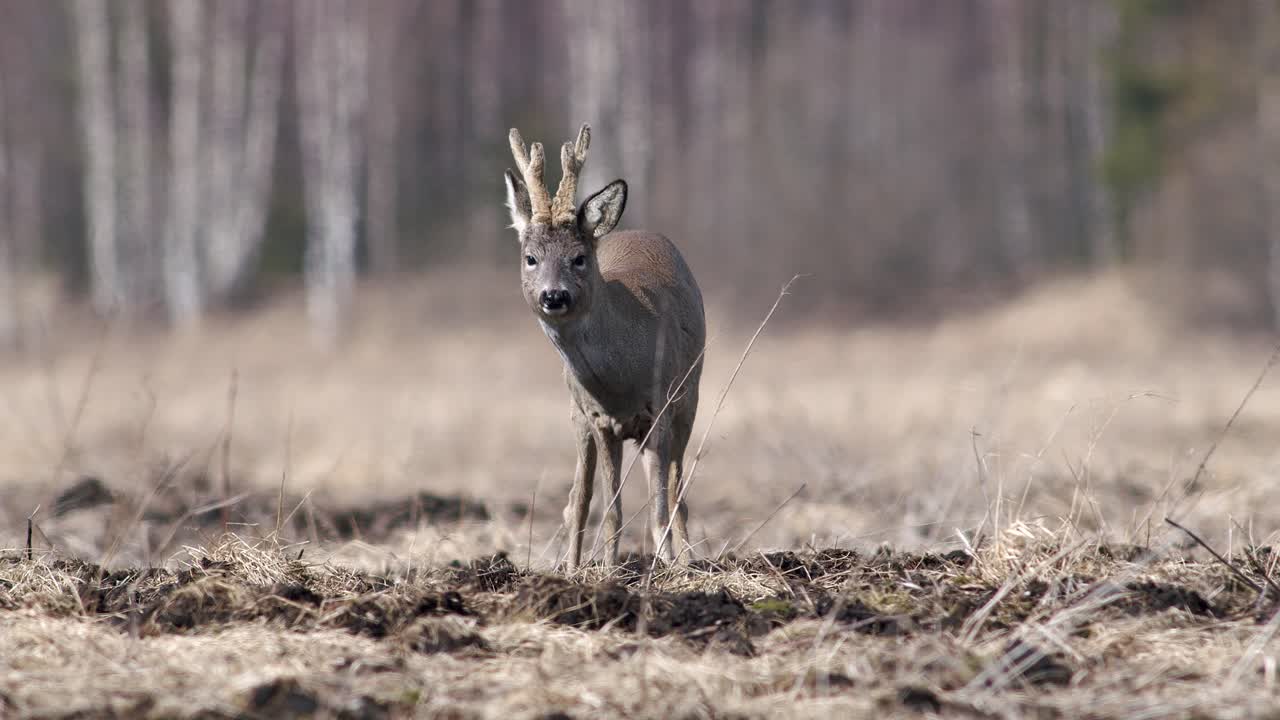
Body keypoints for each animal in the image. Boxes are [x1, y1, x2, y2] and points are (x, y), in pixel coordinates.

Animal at [504, 124, 706, 569]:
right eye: (530, 258)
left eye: (579, 257)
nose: (553, 295)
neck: (619, 382)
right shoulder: (597, 419)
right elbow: (609, 509)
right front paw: (610, 569)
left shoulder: (660, 407)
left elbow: (659, 504)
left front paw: (666, 566)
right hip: (575, 413)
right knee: (577, 498)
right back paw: (571, 564)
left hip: (689, 398)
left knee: (677, 491)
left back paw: (687, 558)